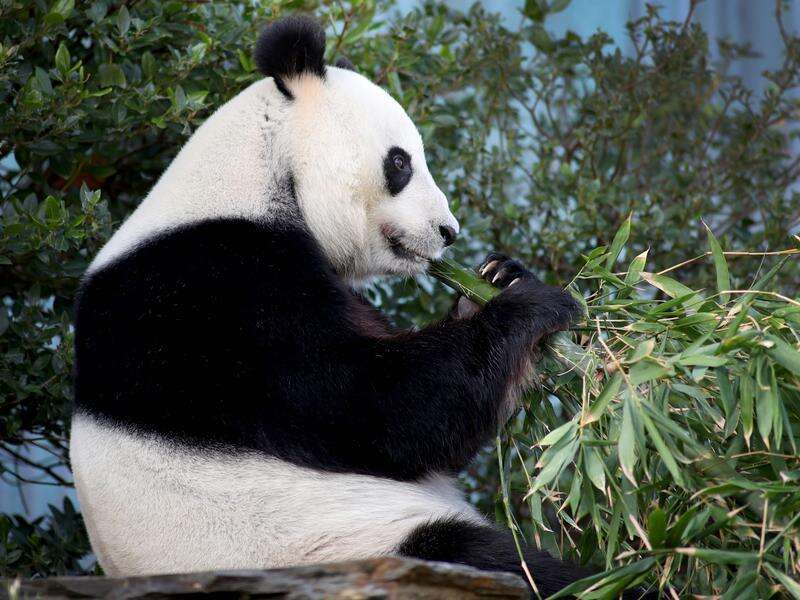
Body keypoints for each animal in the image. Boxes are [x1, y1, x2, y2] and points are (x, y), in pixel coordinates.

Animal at [69, 15, 630, 599]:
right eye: (400, 161)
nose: (448, 232)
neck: (254, 176)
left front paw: (499, 277)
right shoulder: (216, 298)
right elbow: (378, 409)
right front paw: (532, 303)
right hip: (348, 538)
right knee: (503, 562)